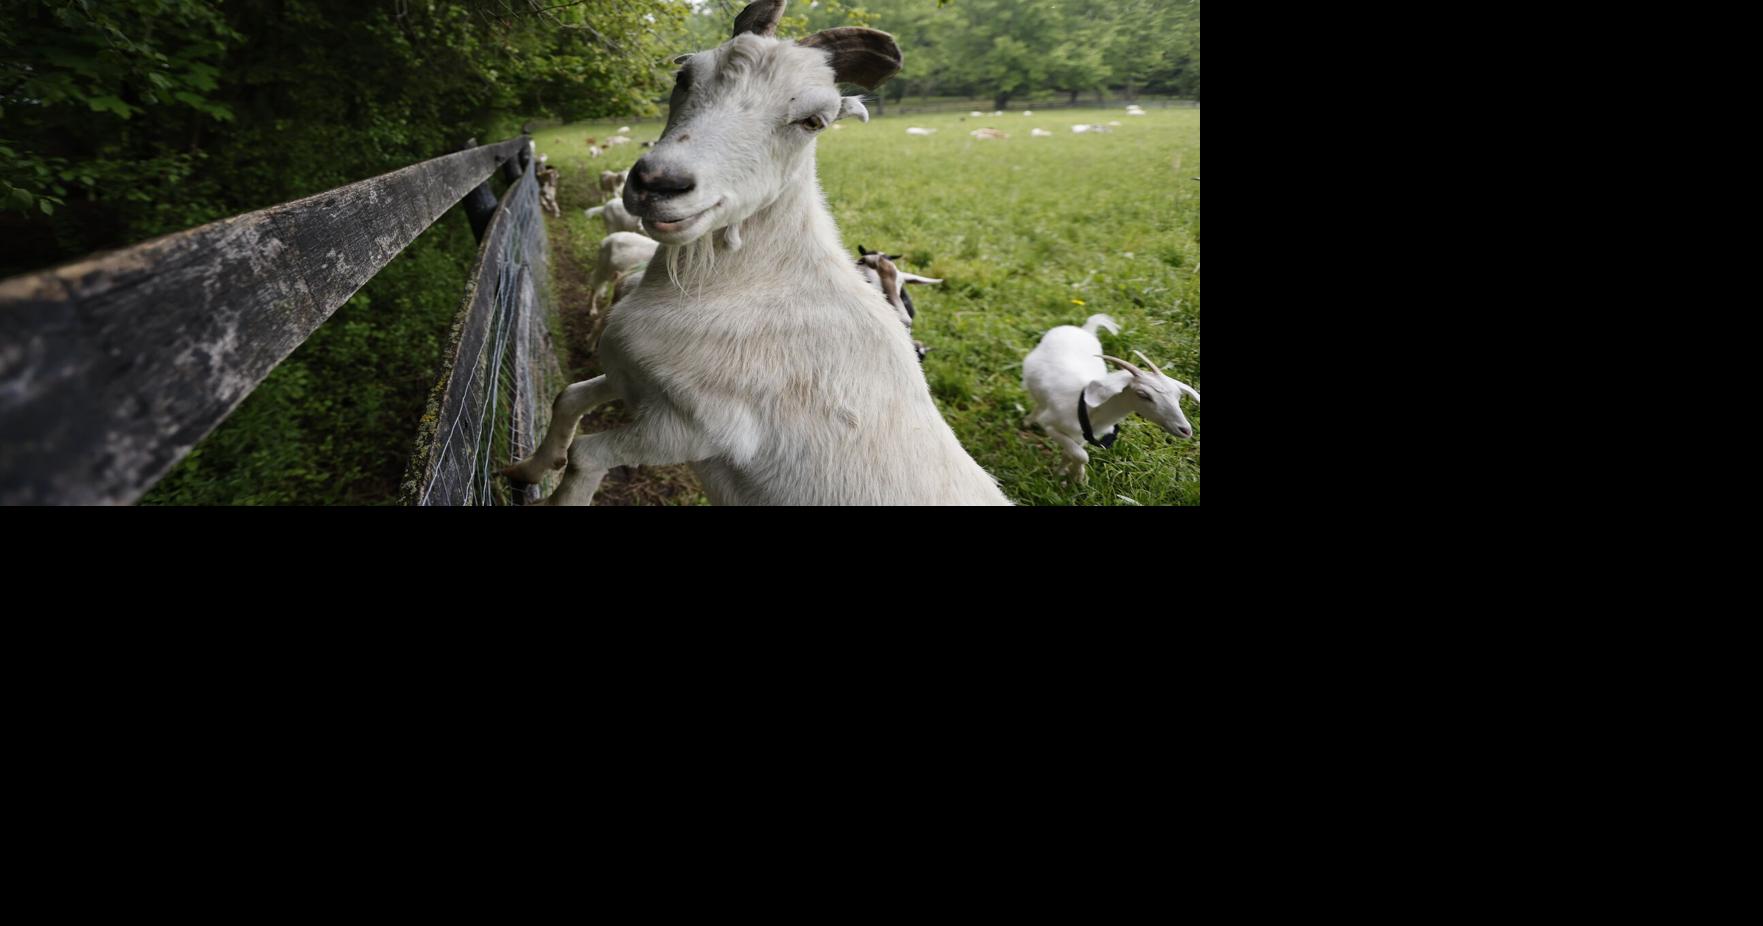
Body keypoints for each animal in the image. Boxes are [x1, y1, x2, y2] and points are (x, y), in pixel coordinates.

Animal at [503, 0, 1008, 505]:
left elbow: (586, 455)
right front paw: (524, 469)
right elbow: (568, 396)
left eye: (813, 121)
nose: (658, 183)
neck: (746, 289)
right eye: (684, 76)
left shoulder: (692, 431)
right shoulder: (631, 380)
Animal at [1021, 314, 1199, 484]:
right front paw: (1079, 477)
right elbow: (1081, 455)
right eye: (1143, 394)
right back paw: (1028, 422)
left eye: (1178, 396)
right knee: (1039, 405)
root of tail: (1085, 329)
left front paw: (1065, 475)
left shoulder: (1082, 437)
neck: (1087, 409)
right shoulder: (1050, 425)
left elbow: (1070, 454)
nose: (1186, 430)